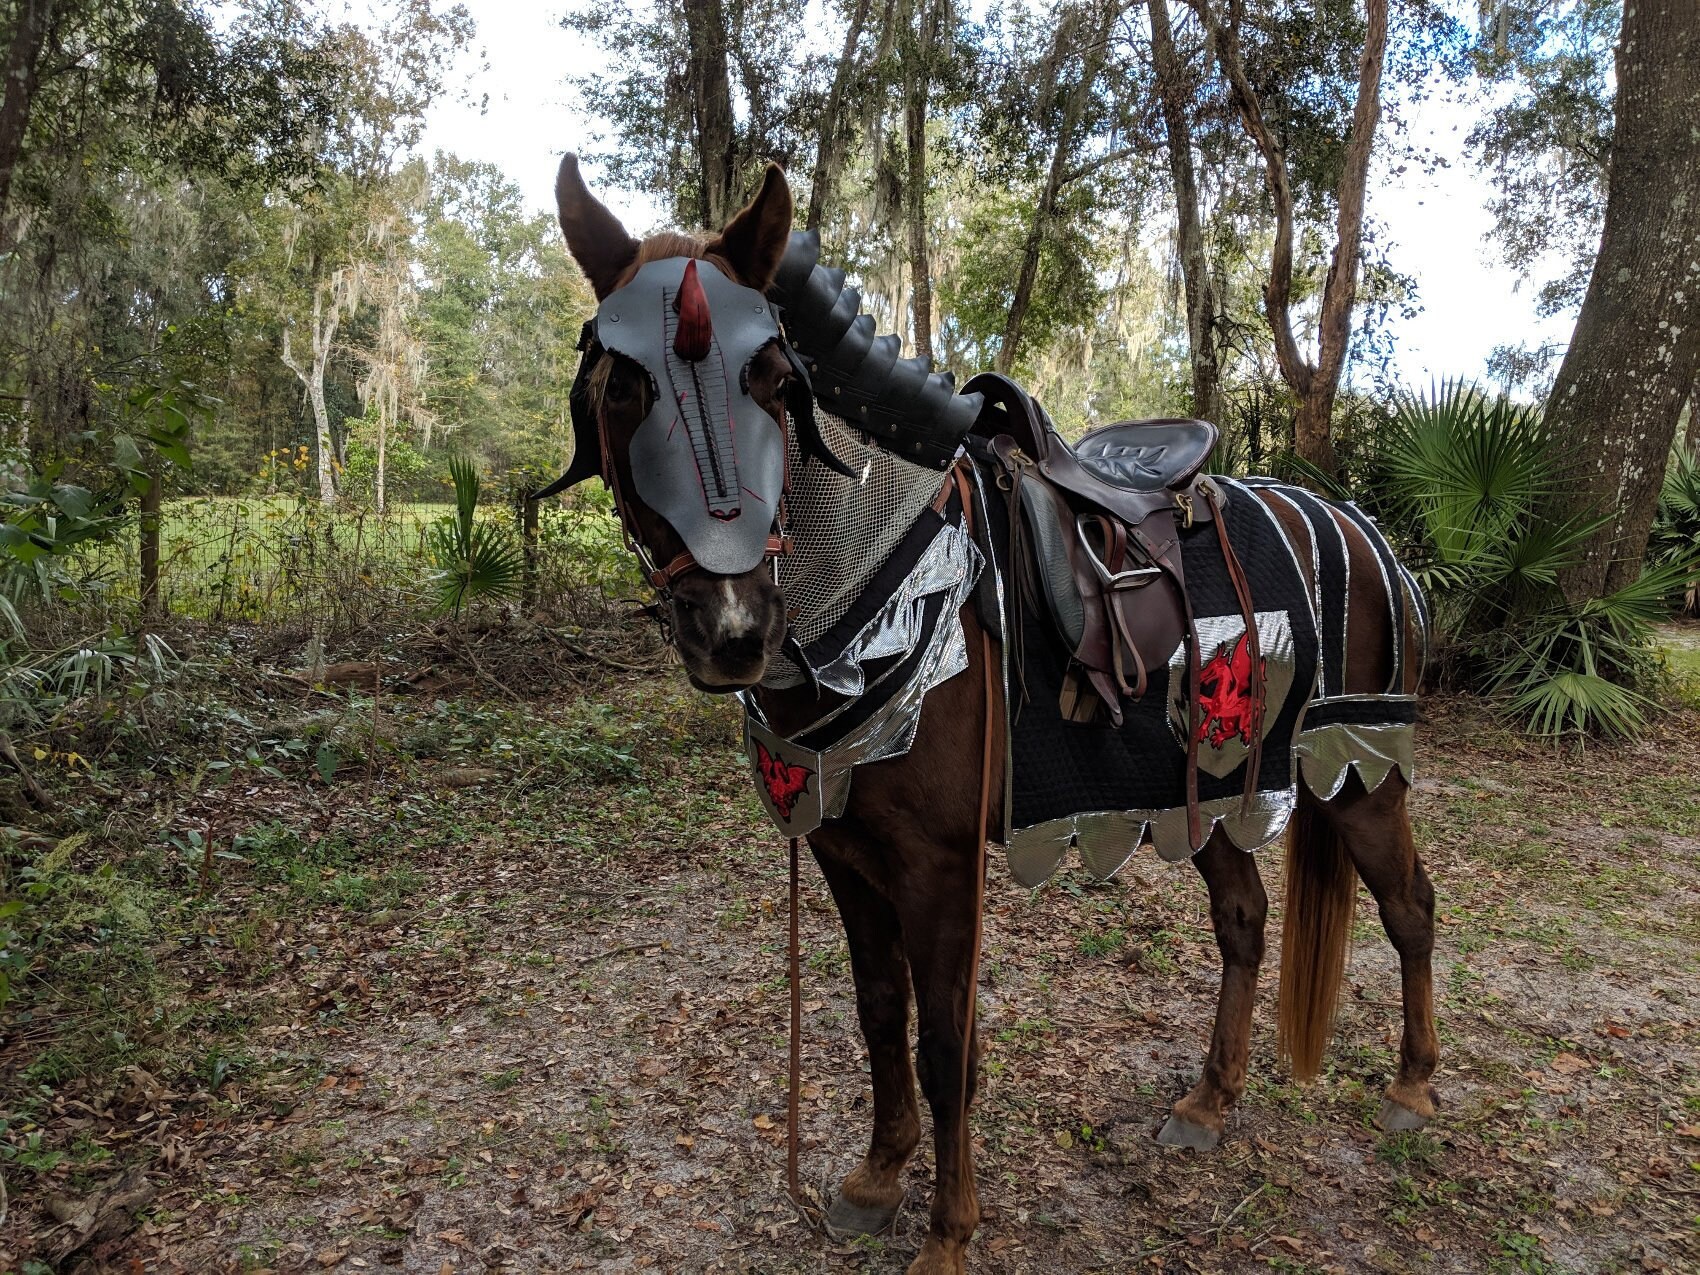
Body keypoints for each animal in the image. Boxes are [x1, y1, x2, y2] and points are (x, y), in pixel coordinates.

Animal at [547, 154, 1438, 1275]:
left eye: (776, 381)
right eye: (622, 386)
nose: (734, 628)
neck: (882, 578)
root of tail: (1361, 525)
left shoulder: (940, 863)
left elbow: (944, 1046)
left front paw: (947, 1233)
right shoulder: (845, 853)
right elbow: (878, 1015)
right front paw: (878, 1177)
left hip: (1363, 773)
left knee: (1409, 908)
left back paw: (1412, 1087)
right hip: (1217, 788)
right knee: (1242, 921)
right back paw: (1209, 1100)